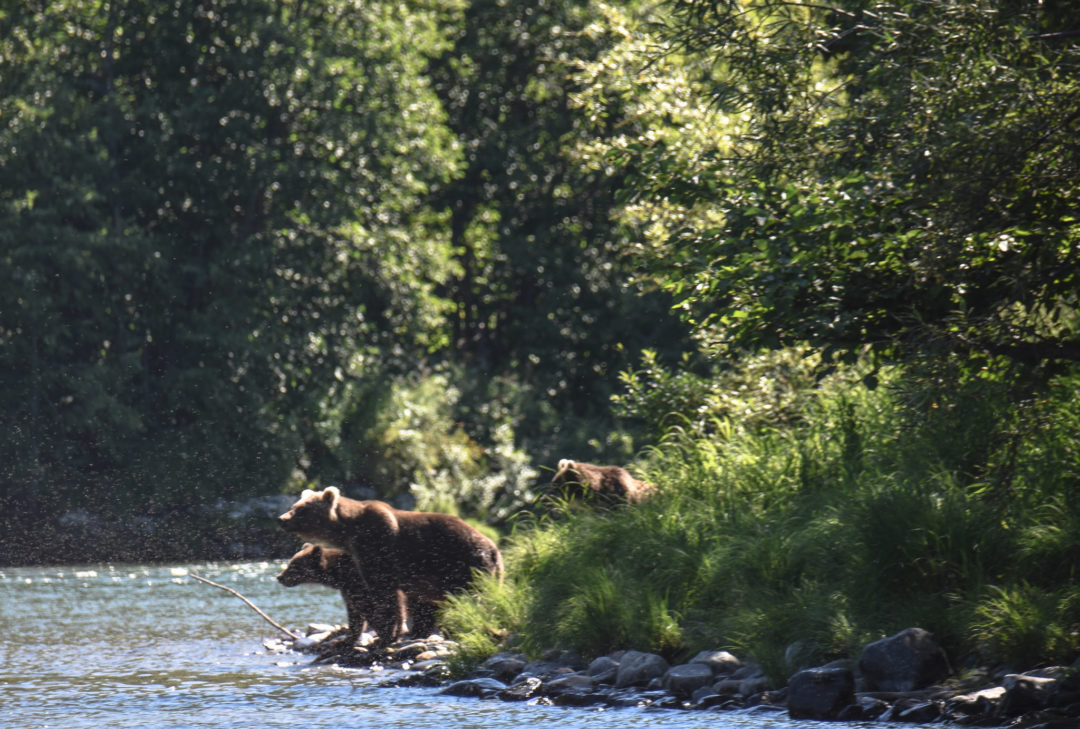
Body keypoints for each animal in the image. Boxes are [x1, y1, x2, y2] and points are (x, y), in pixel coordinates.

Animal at [276, 542, 442, 646]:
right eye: (291, 562)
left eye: (293, 566)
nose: (279, 577)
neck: (339, 574)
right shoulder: (349, 590)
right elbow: (355, 615)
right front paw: (346, 640)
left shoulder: (362, 585)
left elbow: (376, 611)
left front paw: (386, 636)